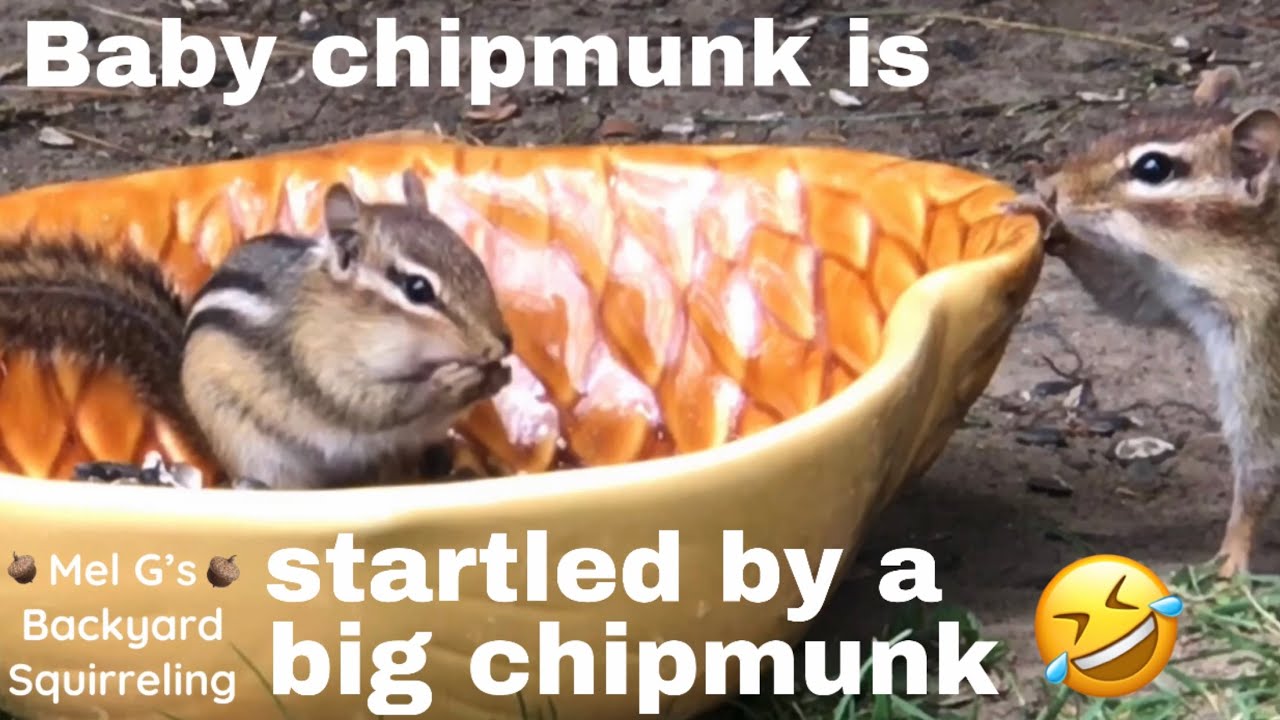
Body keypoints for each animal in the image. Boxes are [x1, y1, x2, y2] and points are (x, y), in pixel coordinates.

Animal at [0, 169, 514, 490]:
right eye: (417, 288)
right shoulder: (319, 367)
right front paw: (453, 379)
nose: (502, 343)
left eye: (471, 256)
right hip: (259, 451)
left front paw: (497, 374)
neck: (351, 319)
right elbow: (376, 407)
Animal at [1005, 66, 1280, 578]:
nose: (1053, 188)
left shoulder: (1262, 353)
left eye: (1153, 169)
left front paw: (1230, 559)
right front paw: (1044, 215)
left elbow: (1260, 464)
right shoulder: (1166, 291)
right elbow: (1123, 298)